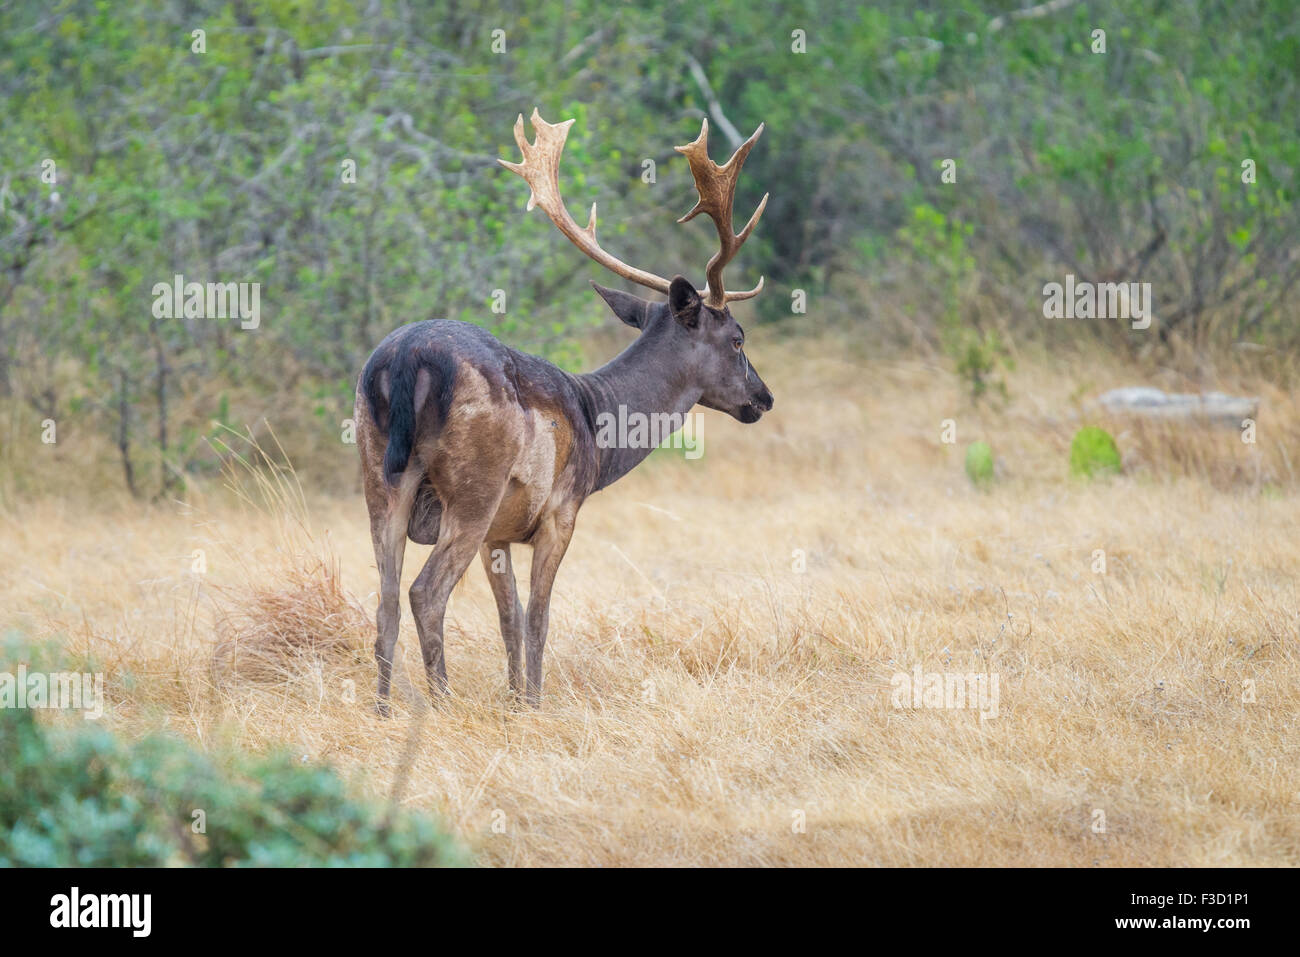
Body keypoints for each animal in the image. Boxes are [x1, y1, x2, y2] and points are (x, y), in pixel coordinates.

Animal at [355, 109, 774, 712]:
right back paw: (441, 704)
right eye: (738, 339)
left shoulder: (500, 533)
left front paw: (514, 698)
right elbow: (538, 617)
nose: (763, 398)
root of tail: (407, 358)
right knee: (424, 592)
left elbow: (508, 617)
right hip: (474, 486)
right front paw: (533, 702)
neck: (599, 421)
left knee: (384, 600)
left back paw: (385, 709)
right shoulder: (561, 510)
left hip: (377, 476)